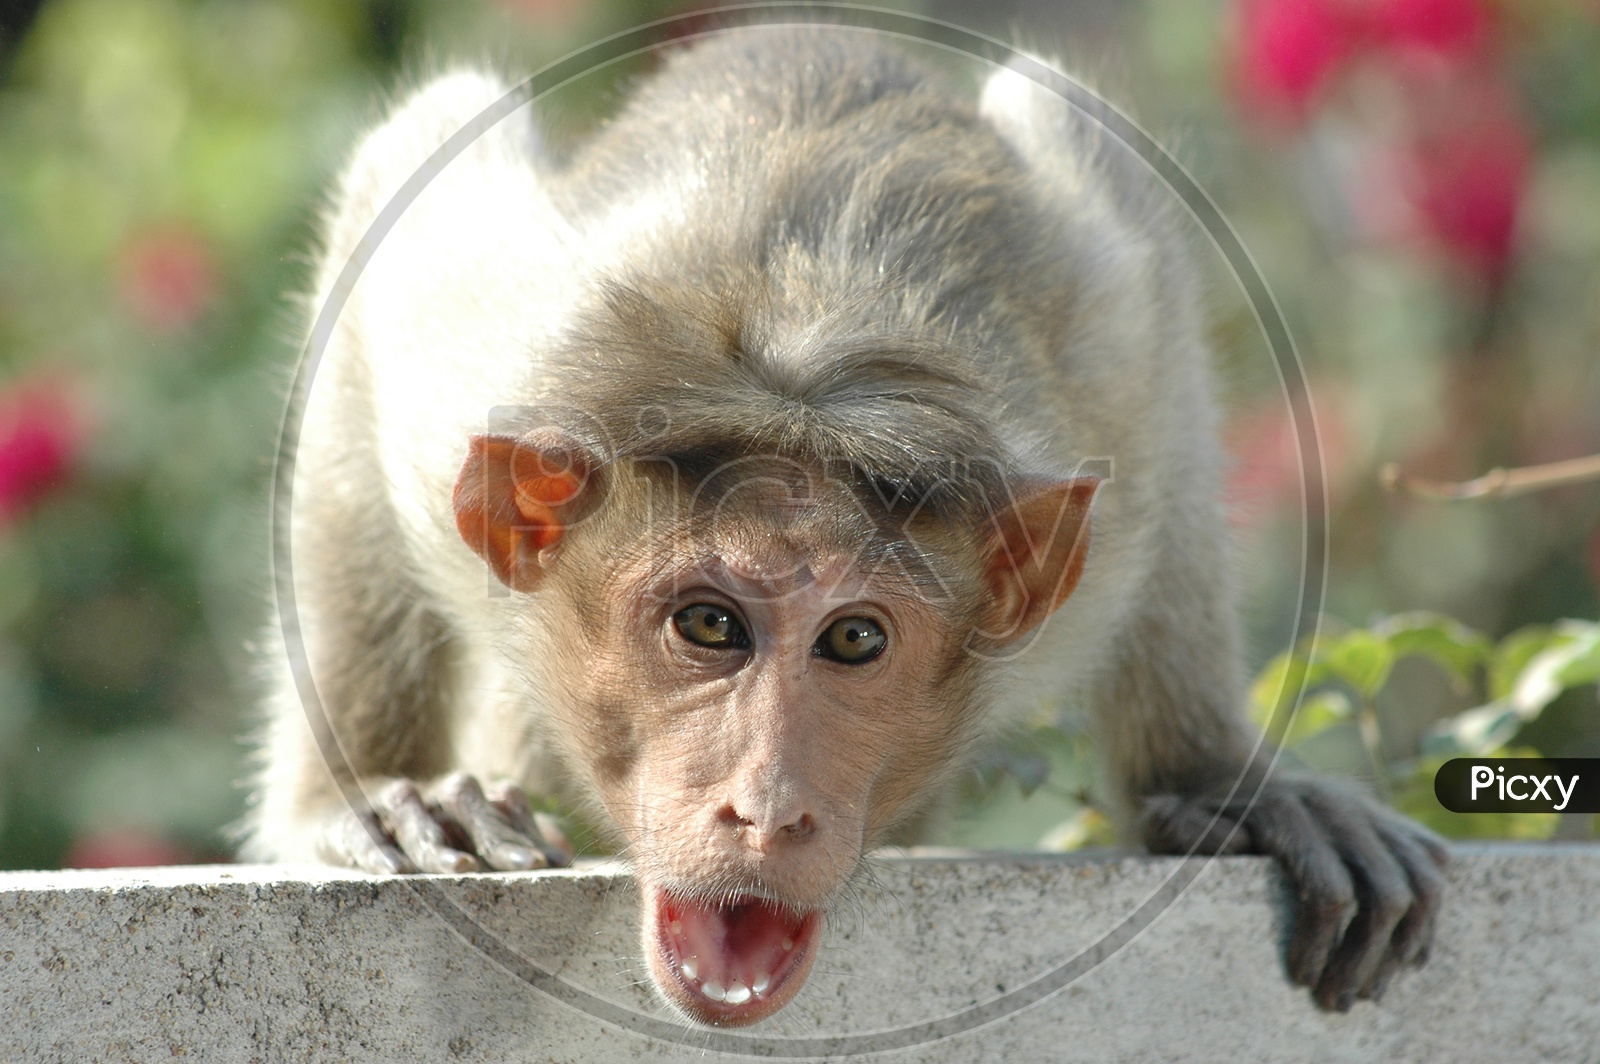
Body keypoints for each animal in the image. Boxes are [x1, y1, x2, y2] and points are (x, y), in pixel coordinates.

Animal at [242, 25, 1447, 1027]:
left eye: (855, 639)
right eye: (708, 625)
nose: (771, 812)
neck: (790, 322)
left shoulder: (1110, 361)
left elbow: (1141, 249)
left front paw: (1216, 777)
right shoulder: (470, 338)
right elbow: (398, 186)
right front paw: (364, 794)